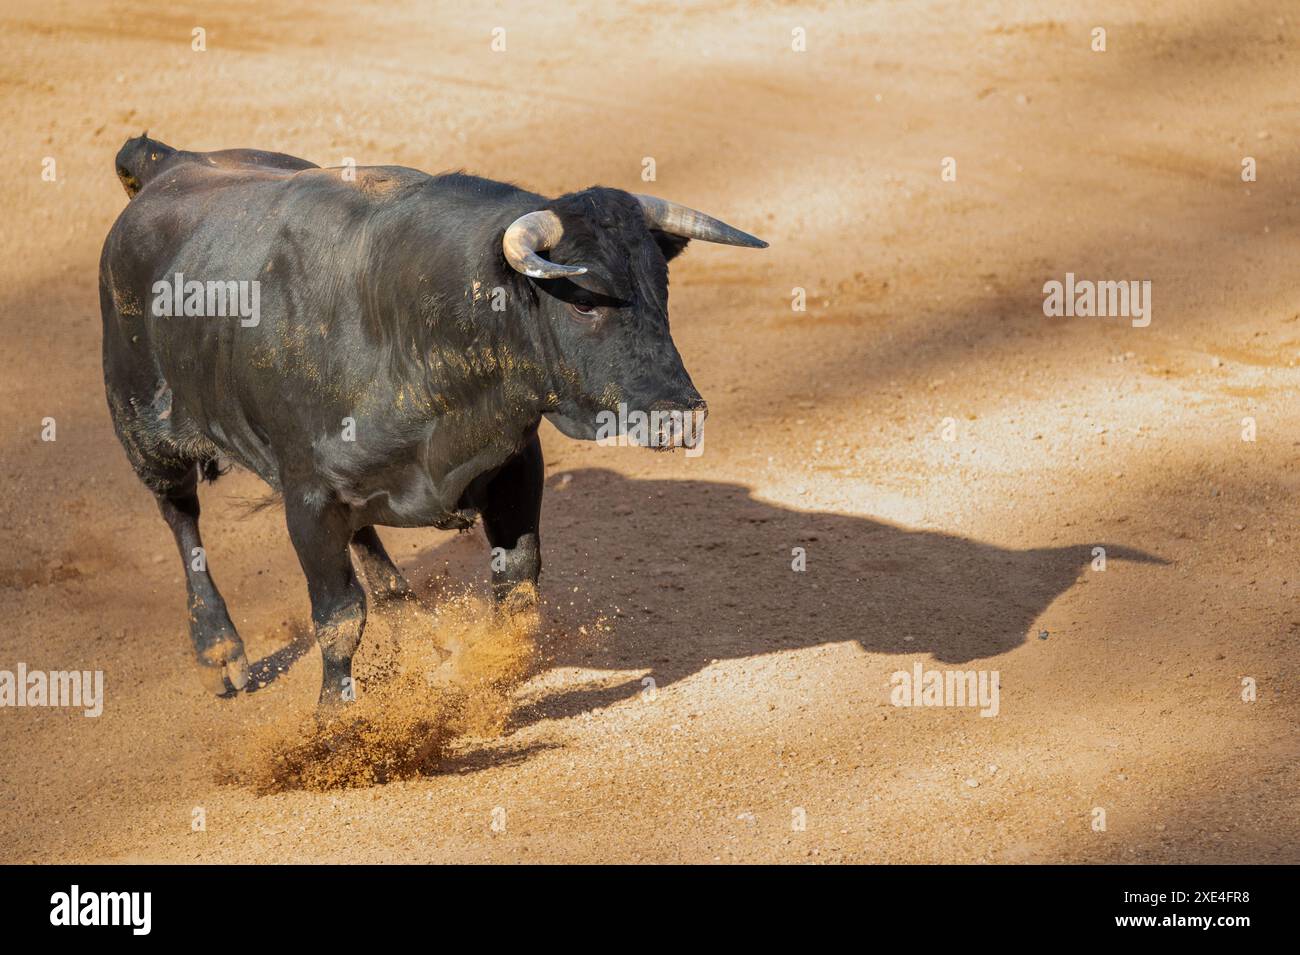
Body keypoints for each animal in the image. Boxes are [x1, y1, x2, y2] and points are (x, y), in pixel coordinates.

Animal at [99, 135, 766, 706]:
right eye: (582, 302)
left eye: (662, 288)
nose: (680, 415)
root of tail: (168, 163)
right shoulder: (307, 495)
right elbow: (337, 617)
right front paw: (335, 725)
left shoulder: (515, 465)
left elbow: (517, 582)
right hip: (142, 428)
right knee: (181, 517)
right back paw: (219, 651)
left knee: (363, 537)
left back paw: (417, 627)